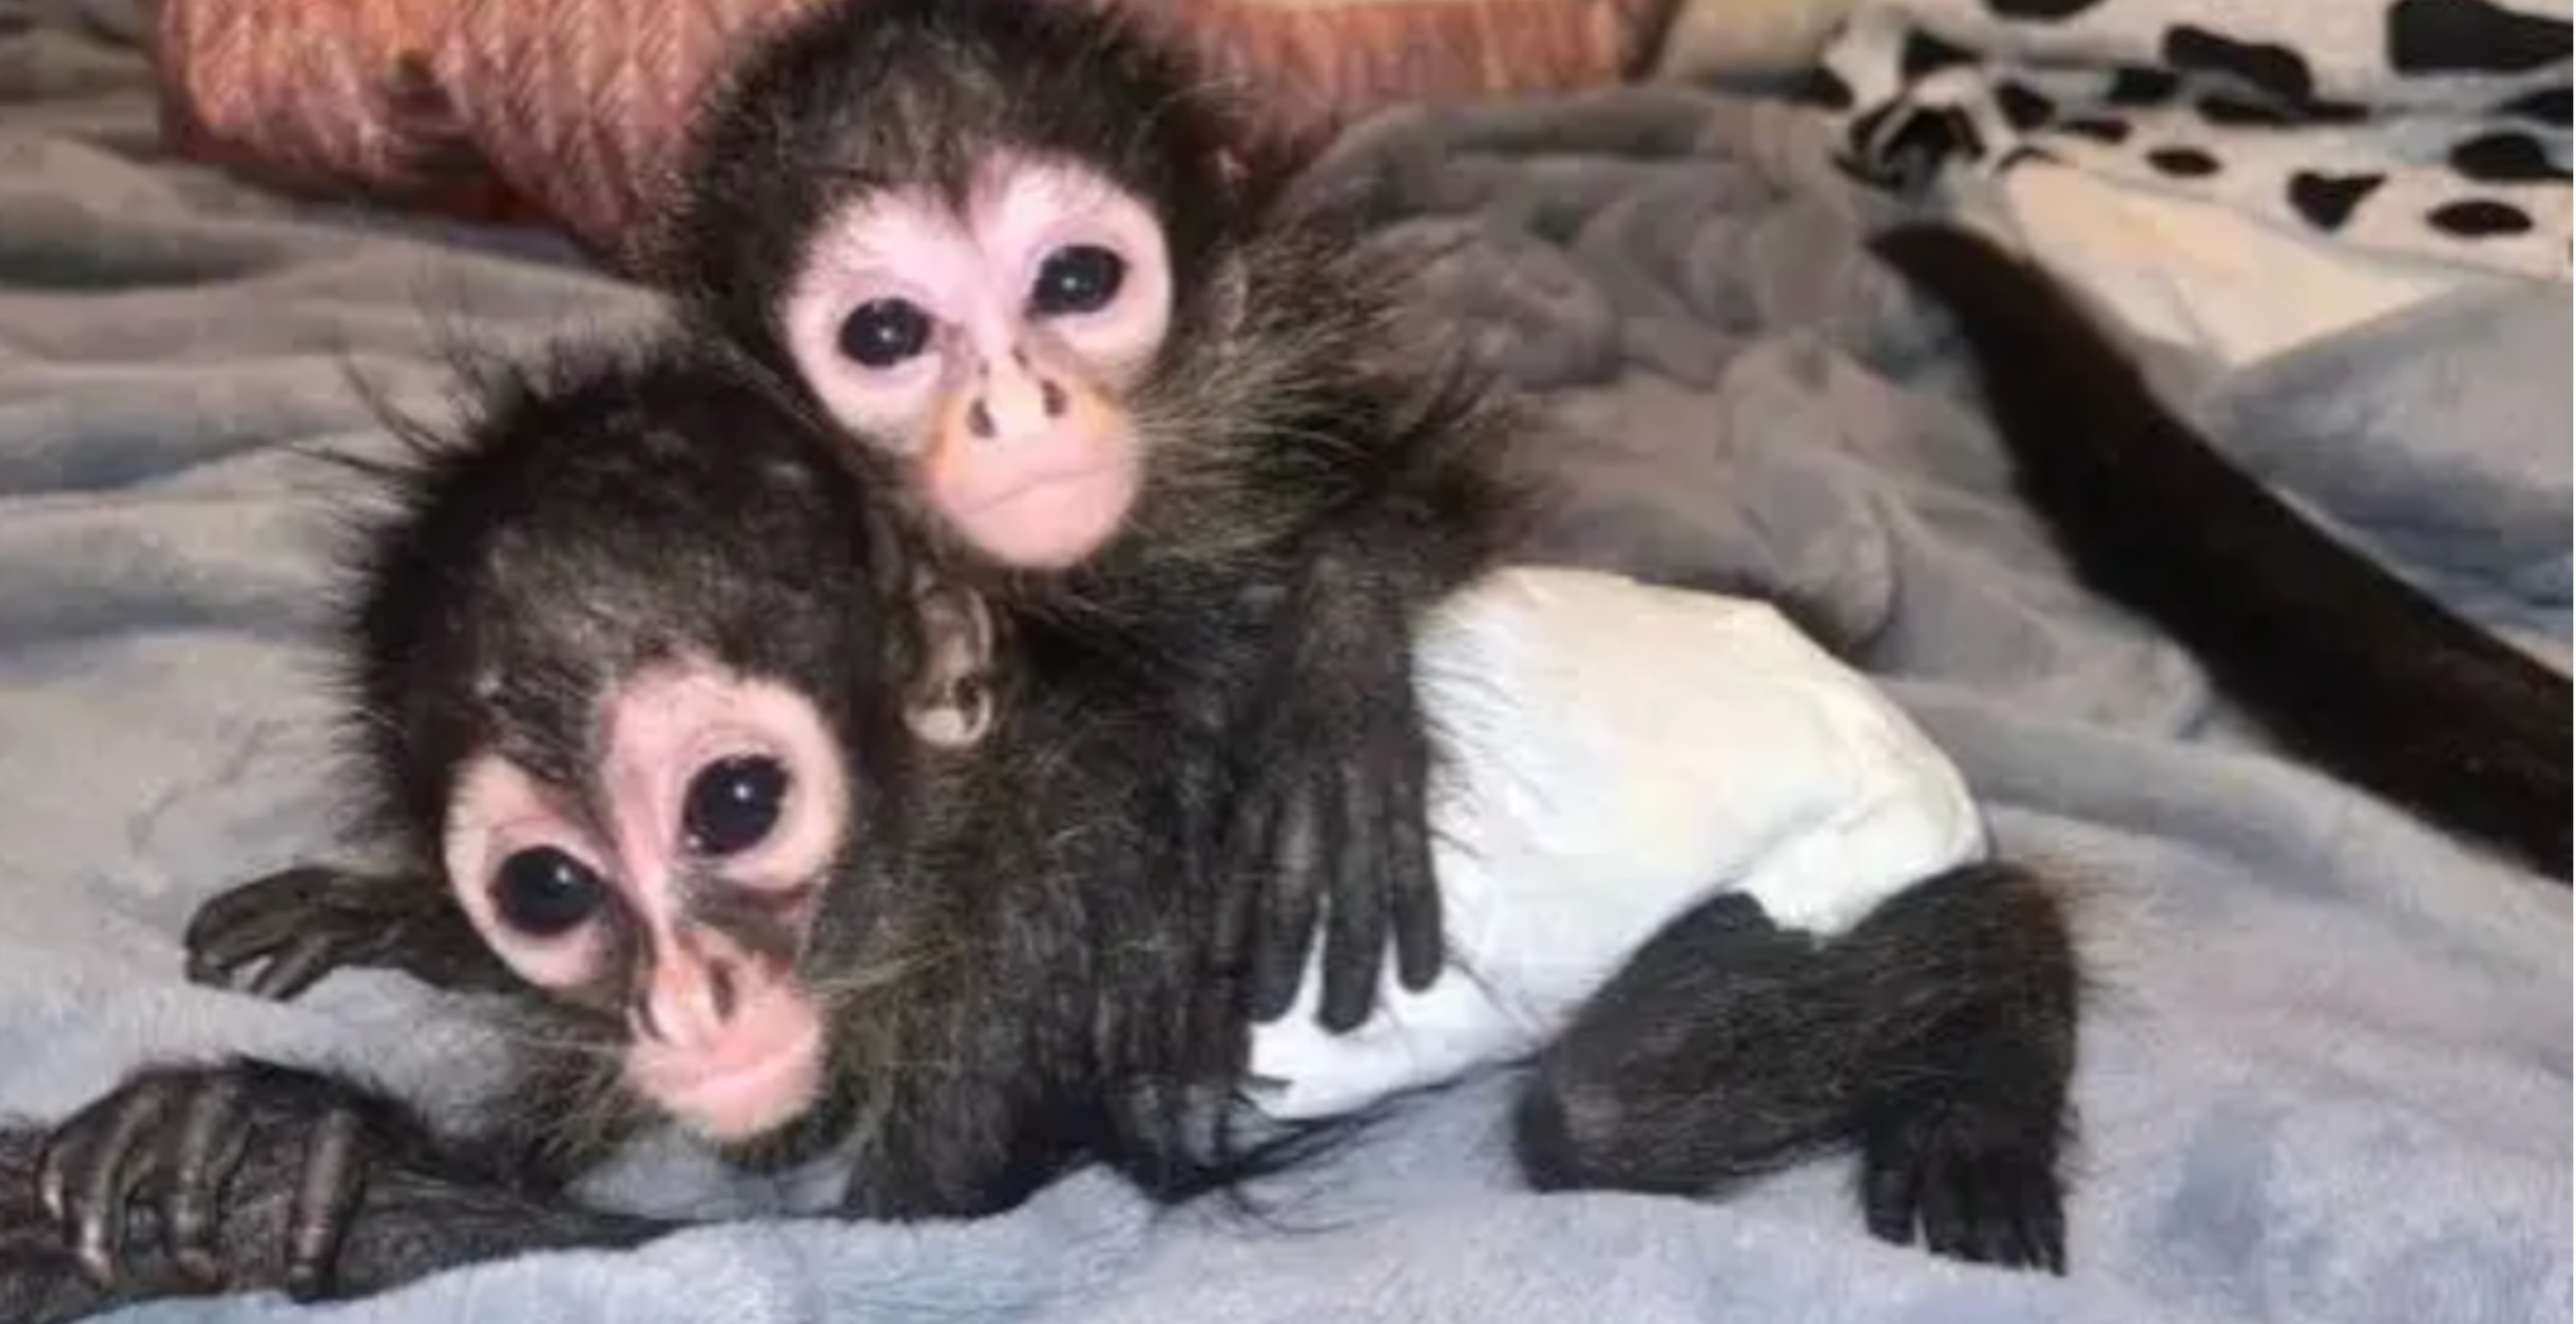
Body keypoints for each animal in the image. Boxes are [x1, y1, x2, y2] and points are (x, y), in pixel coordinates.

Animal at [0, 328, 2078, 1320]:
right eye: (547, 884)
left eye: (737, 800)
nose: (692, 1005)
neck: (955, 789)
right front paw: (374, 935)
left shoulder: (1033, 905)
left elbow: (874, 1249)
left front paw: (266, 1161)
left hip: (1845, 849)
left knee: (1614, 1104)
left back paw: (2002, 1019)